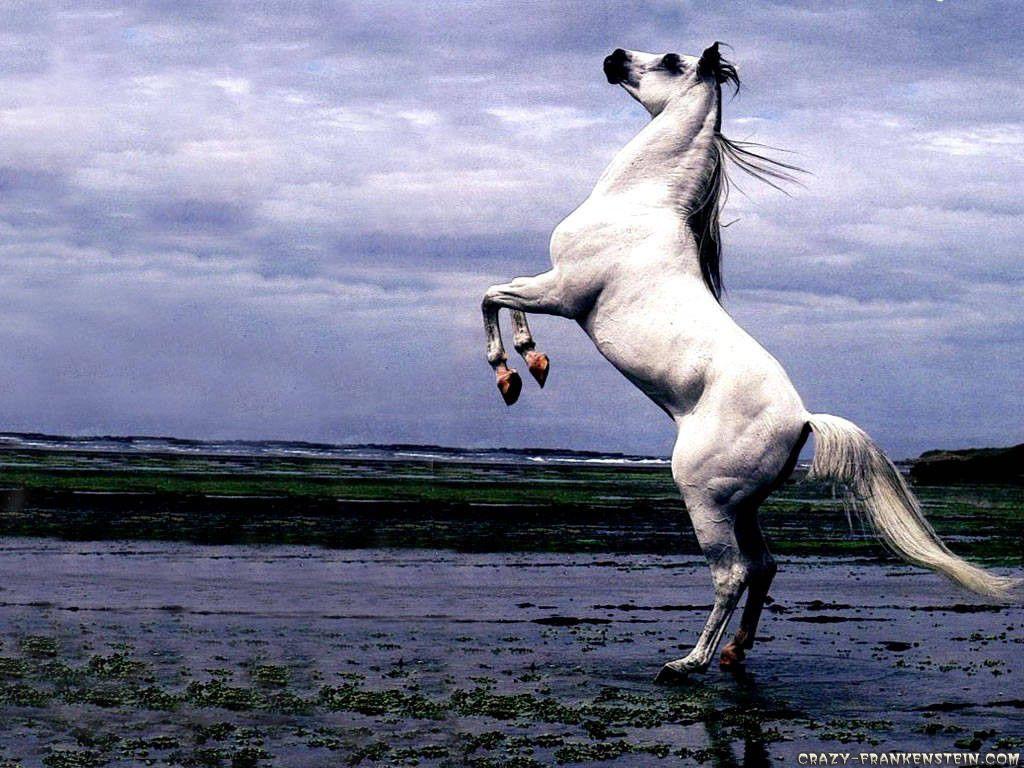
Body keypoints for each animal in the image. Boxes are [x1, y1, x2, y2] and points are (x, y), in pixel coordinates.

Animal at [481, 43, 1019, 681]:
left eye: (670, 60)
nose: (614, 57)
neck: (639, 204)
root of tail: (803, 420)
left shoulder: (564, 293)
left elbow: (493, 295)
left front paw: (516, 370)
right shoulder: (553, 288)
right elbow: (500, 295)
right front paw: (528, 367)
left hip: (705, 499)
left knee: (731, 573)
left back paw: (687, 662)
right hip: (744, 506)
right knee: (764, 567)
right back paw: (735, 652)